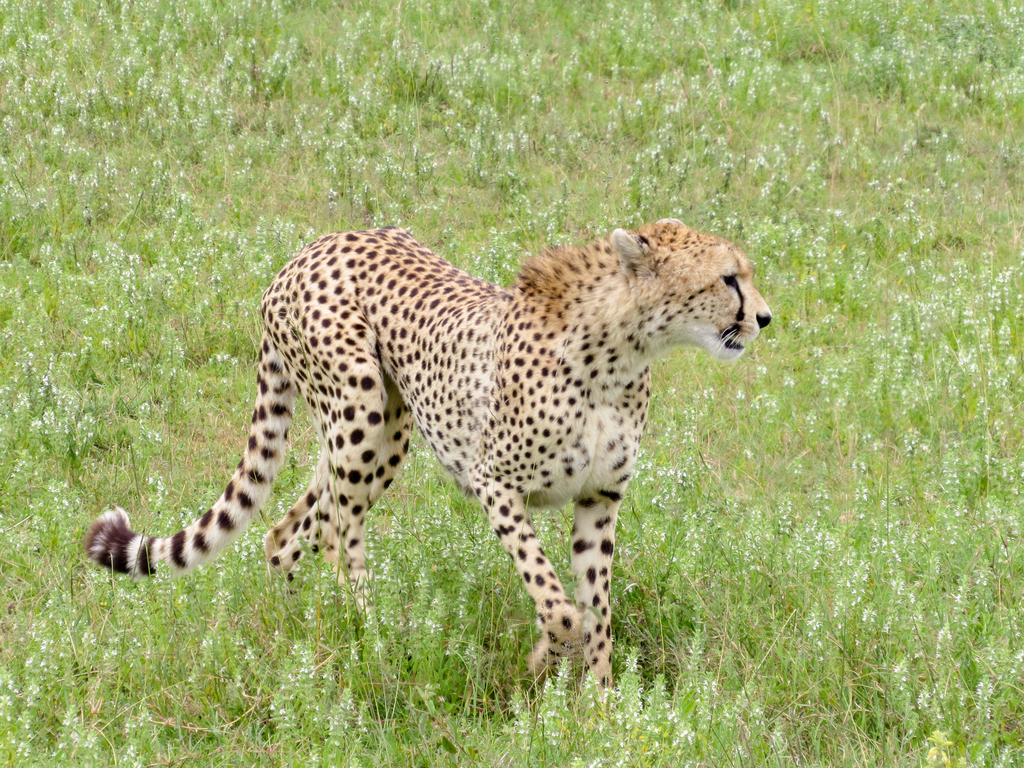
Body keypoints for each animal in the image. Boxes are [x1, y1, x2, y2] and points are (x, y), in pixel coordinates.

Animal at [85, 218, 771, 688]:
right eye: (727, 278)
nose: (764, 317)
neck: (621, 351)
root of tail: (307, 250)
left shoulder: (599, 500)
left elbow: (596, 608)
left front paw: (601, 705)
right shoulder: (496, 483)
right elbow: (558, 603)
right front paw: (543, 662)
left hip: (381, 433)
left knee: (289, 529)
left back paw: (298, 626)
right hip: (358, 408)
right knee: (338, 532)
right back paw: (368, 636)